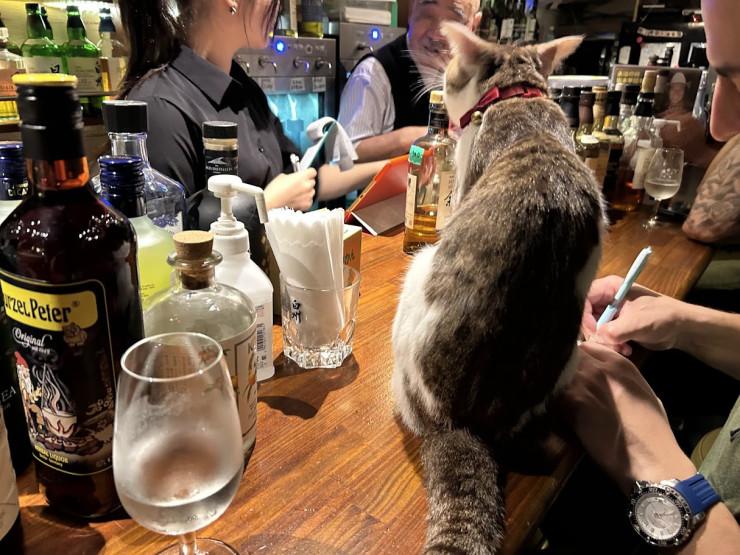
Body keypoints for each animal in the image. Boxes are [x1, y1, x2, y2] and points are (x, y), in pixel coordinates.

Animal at [394, 22, 608, 555]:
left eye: (451, 67)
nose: (433, 80)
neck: (520, 96)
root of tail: (464, 424)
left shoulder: (465, 177)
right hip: (570, 353)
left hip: (418, 275)